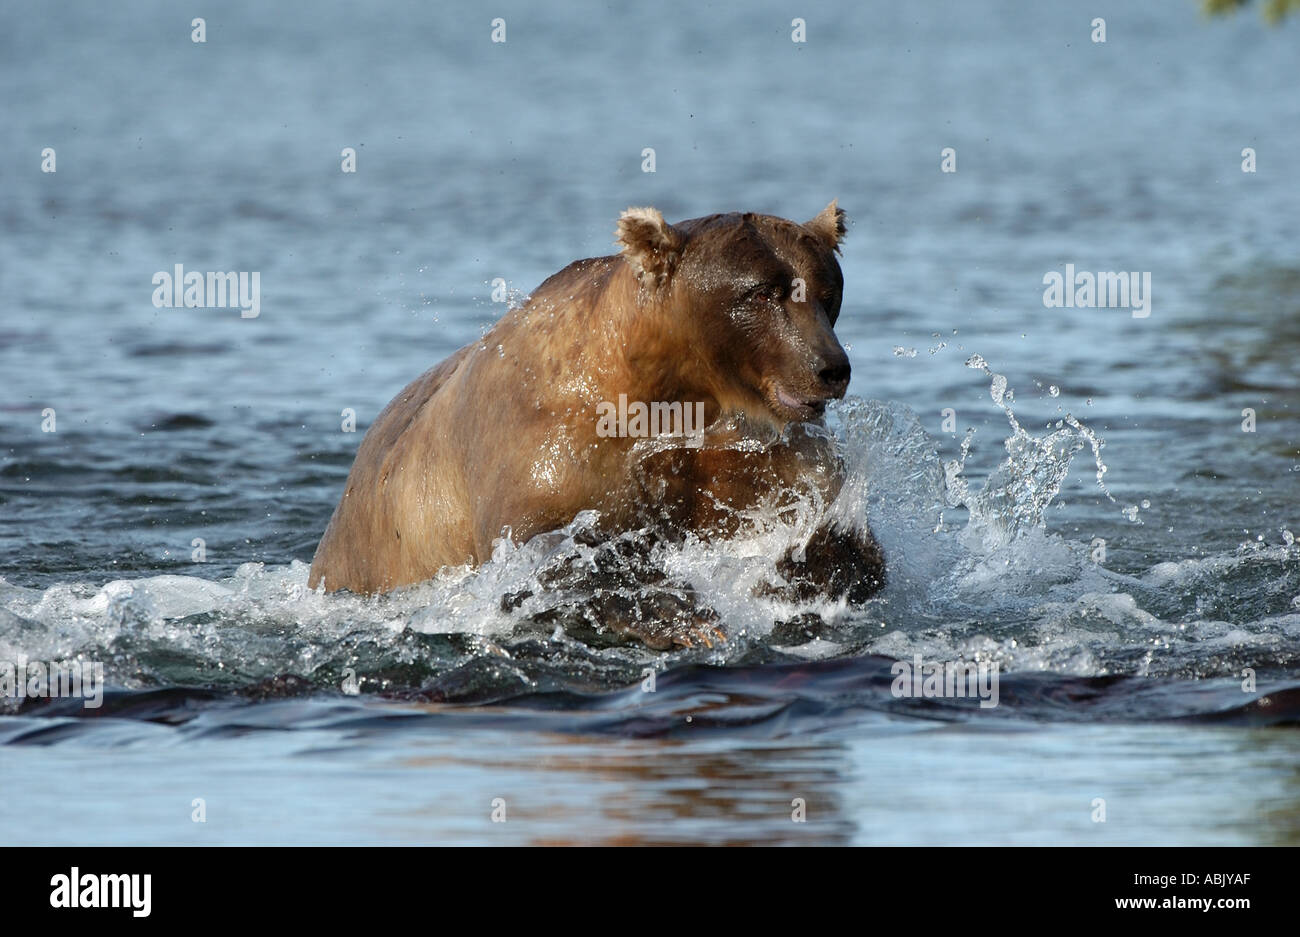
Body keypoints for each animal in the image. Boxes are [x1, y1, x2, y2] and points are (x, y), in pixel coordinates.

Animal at [308, 202, 885, 648]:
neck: (671, 388)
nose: (830, 367)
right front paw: (685, 615)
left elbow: (826, 524)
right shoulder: (547, 441)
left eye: (825, 290)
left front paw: (809, 564)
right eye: (763, 293)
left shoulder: (747, 449)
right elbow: (552, 547)